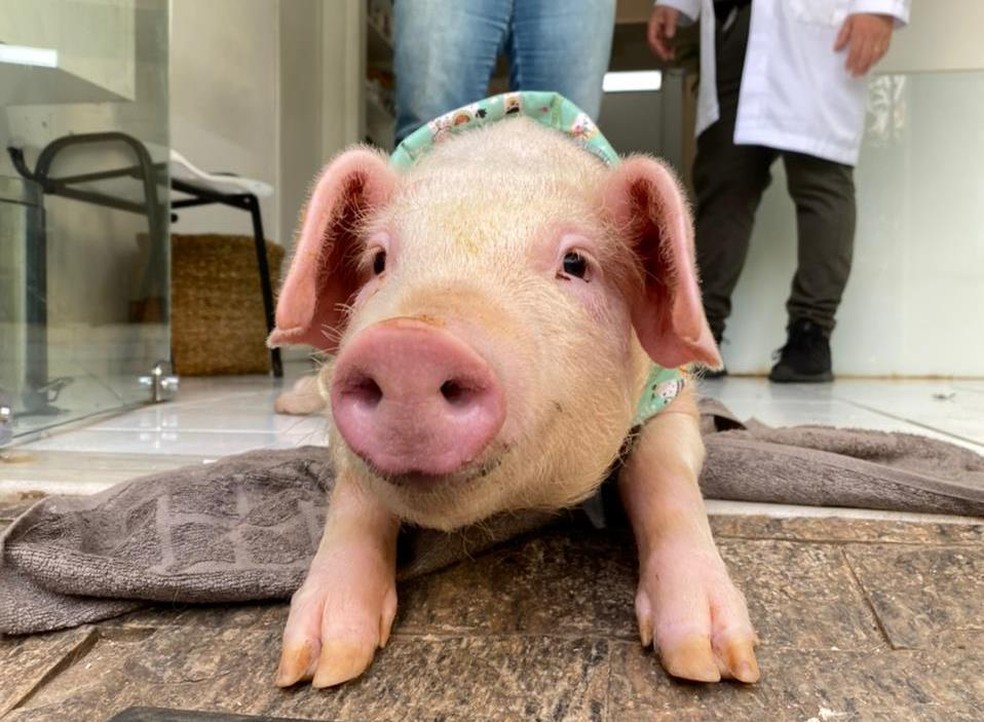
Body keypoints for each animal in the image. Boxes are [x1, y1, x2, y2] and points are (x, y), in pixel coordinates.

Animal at [267, 114, 759, 689]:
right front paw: (316, 668)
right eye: (378, 261)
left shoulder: (673, 395)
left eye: (576, 262)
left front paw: (713, 665)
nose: (408, 344)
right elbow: (355, 492)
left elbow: (662, 474)